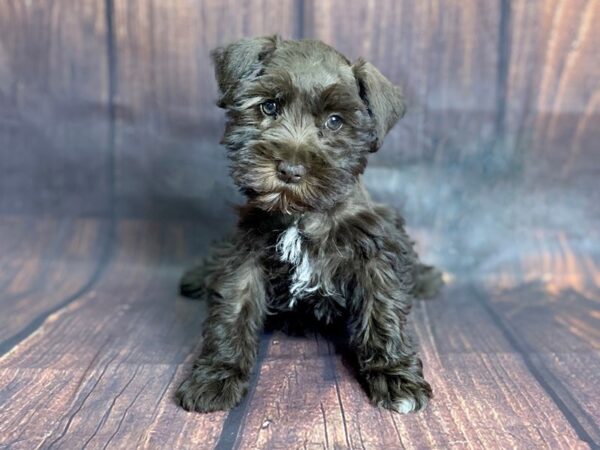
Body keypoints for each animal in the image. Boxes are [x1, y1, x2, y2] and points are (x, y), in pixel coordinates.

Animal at [176, 35, 442, 414]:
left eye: (334, 121)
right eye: (269, 106)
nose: (290, 170)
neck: (301, 215)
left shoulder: (375, 249)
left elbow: (382, 309)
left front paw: (395, 375)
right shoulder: (246, 252)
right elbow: (233, 309)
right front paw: (218, 374)